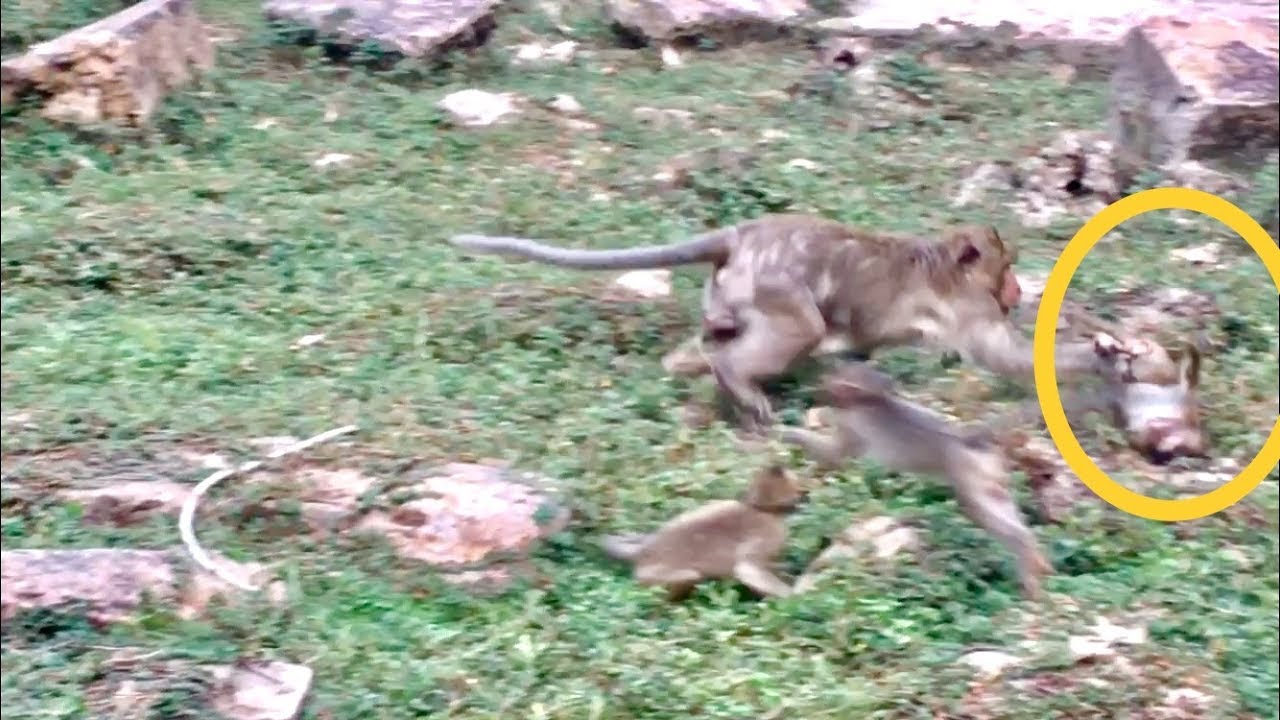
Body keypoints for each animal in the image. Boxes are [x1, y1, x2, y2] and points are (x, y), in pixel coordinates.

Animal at [451, 215, 1117, 431]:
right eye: (1006, 268)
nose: (1018, 289)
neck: (943, 264)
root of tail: (738, 236)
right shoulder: (971, 311)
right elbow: (1010, 359)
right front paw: (1103, 357)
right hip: (776, 291)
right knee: (798, 333)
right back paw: (738, 385)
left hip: (727, 297)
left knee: (713, 338)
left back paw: (689, 369)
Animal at [599, 464, 807, 601]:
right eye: (797, 486)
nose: (804, 494)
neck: (759, 508)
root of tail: (645, 552)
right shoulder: (766, 532)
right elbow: (747, 568)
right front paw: (796, 597)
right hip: (654, 575)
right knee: (691, 576)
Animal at [776, 363, 1053, 600]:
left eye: (831, 382)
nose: (820, 389)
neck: (872, 399)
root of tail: (967, 437)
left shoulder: (851, 426)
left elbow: (835, 455)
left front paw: (789, 434)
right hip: (993, 475)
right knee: (998, 503)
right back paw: (1035, 555)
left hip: (967, 473)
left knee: (977, 509)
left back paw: (1026, 556)